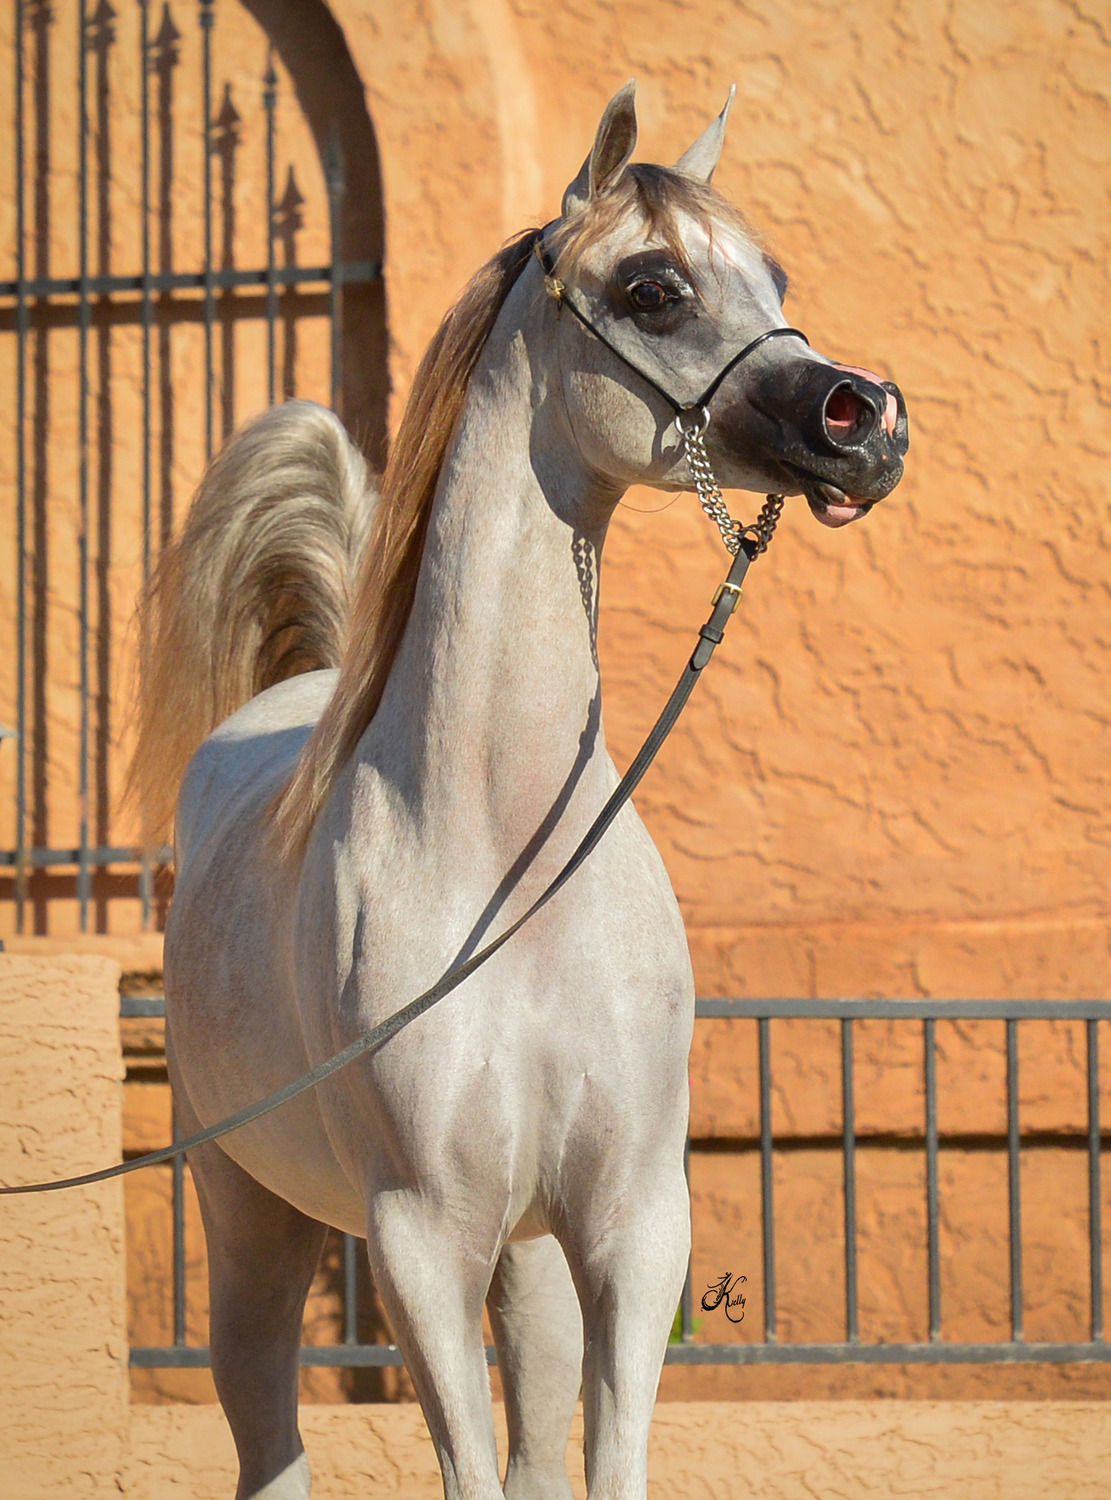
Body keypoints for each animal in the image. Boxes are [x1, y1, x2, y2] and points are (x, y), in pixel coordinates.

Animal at [130, 81, 907, 1500]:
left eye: (774, 274)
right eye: (652, 285)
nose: (863, 417)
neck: (509, 867)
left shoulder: (630, 1223)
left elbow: (598, 1463)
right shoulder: (423, 1241)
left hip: (529, 1262)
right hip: (250, 1216)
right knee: (267, 1430)